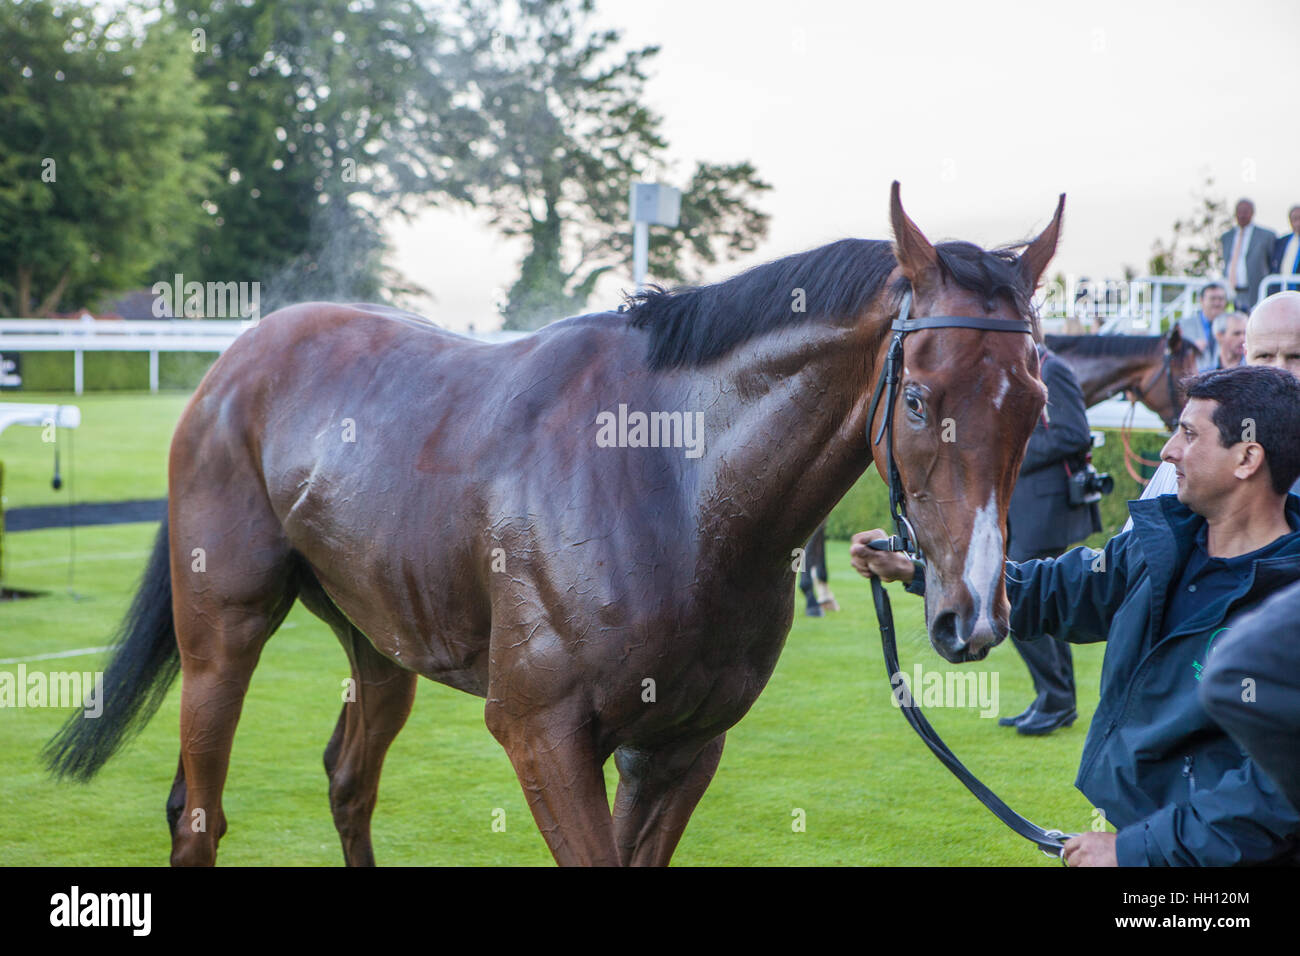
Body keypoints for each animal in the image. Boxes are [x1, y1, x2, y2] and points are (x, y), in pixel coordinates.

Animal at [45, 183, 1061, 866]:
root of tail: (237, 357)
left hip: (380, 636)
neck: (675, 489)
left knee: (349, 780)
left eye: (1037, 404)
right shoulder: (543, 734)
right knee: (199, 814)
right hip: (223, 631)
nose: (974, 615)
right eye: (920, 400)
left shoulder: (680, 748)